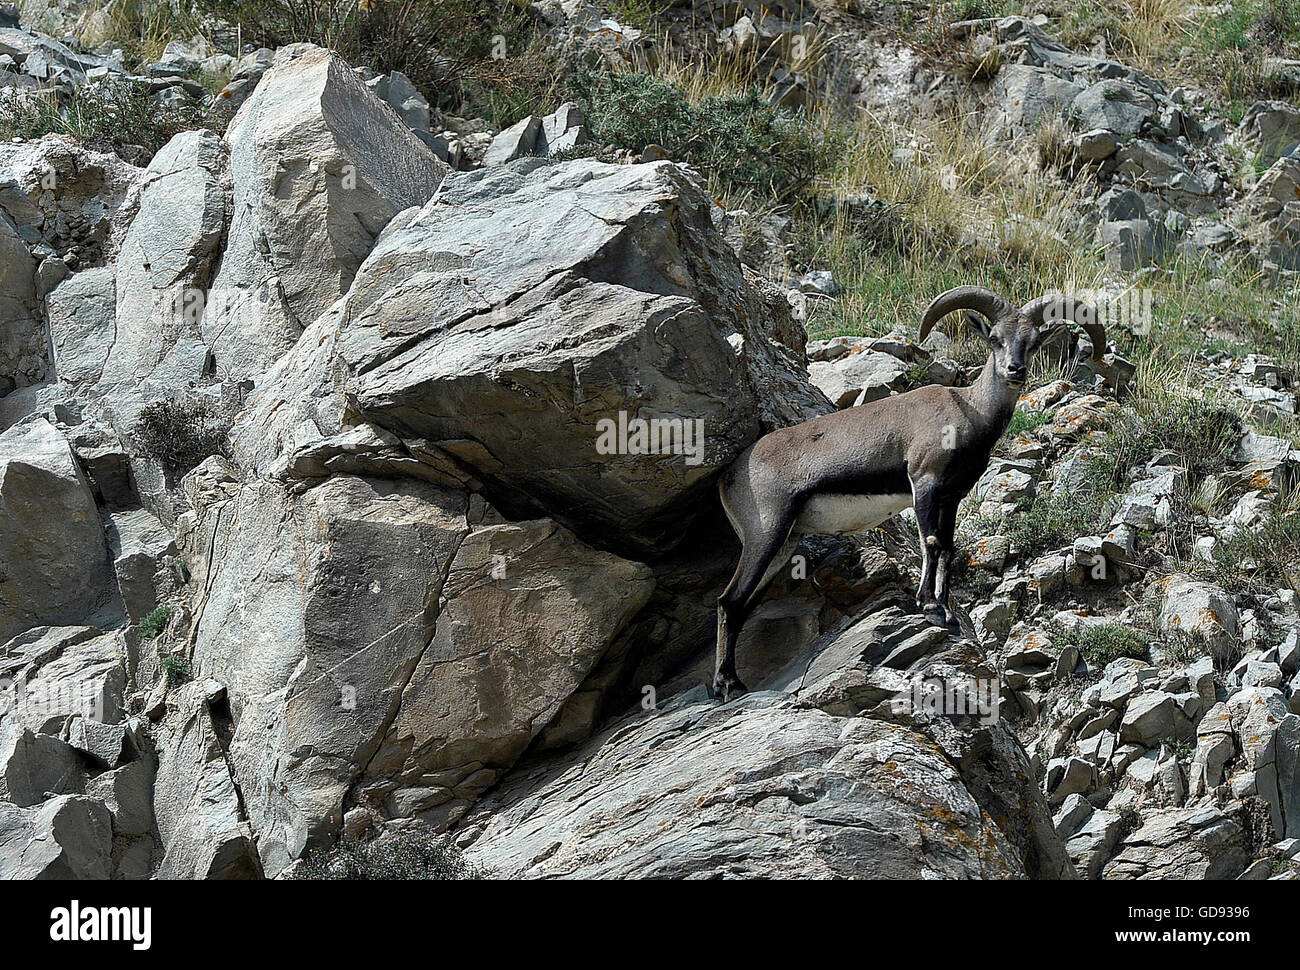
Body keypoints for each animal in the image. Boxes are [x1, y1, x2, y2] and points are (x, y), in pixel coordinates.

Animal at [711, 286, 1105, 700]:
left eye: (1031, 343)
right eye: (996, 339)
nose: (1015, 370)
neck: (968, 413)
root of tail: (729, 476)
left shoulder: (951, 496)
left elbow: (947, 548)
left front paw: (946, 613)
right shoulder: (925, 481)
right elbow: (930, 543)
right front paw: (929, 606)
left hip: (784, 543)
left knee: (741, 604)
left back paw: (732, 680)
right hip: (766, 531)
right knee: (729, 600)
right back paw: (726, 683)